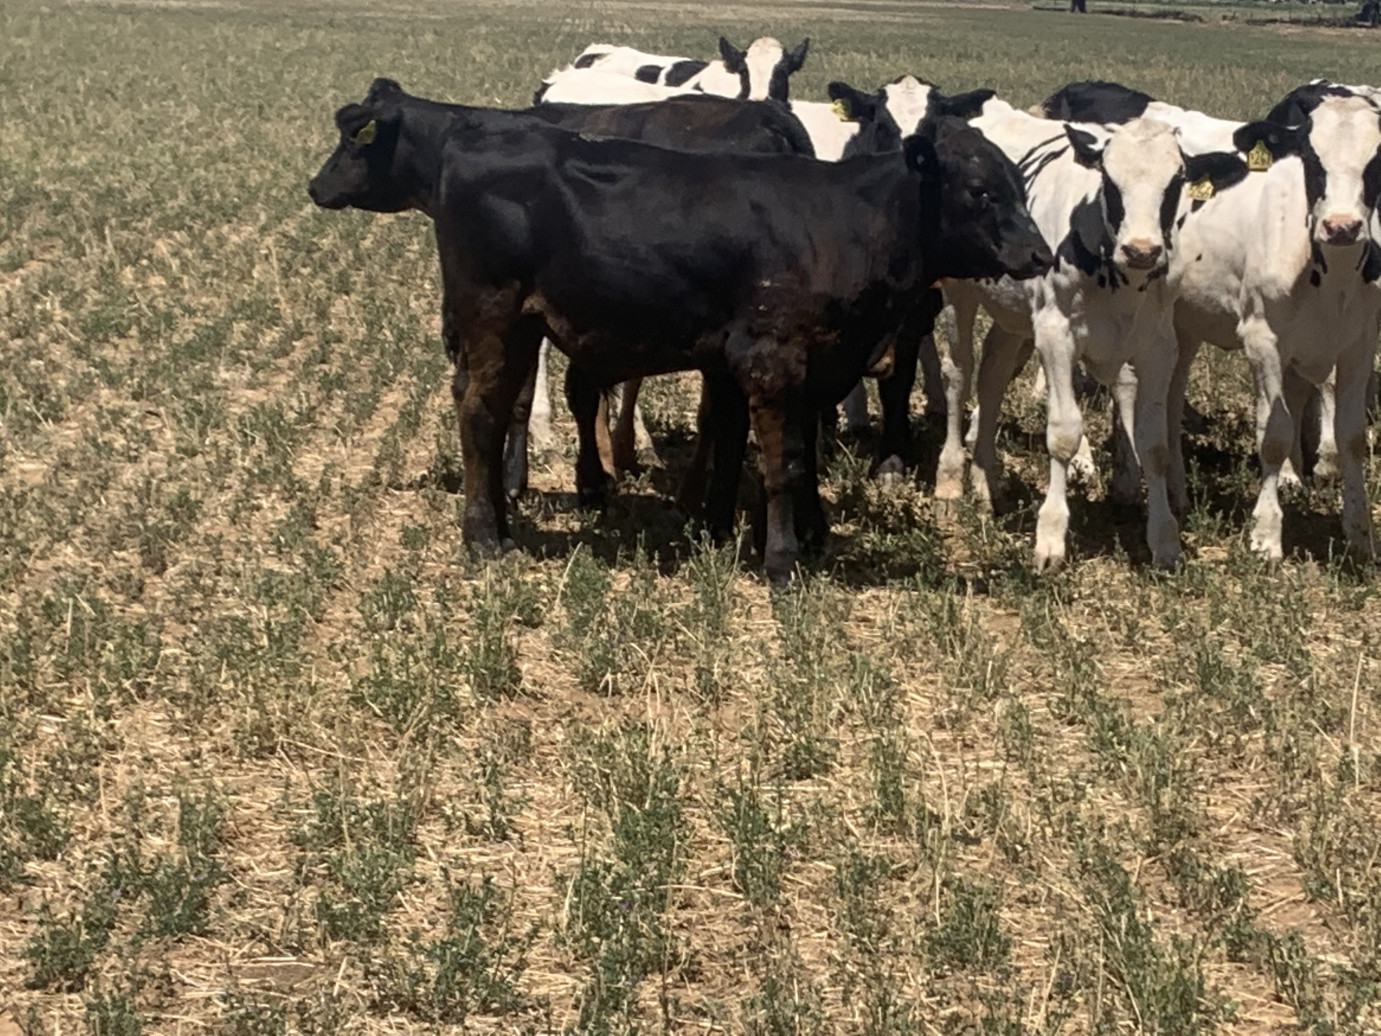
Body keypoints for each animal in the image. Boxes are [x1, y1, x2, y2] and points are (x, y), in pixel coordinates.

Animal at [308, 81, 1052, 582]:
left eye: (1019, 186)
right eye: (981, 190)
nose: (1040, 254)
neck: (842, 218)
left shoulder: (814, 365)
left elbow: (794, 453)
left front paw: (800, 534)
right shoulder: (771, 358)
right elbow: (781, 463)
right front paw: (781, 559)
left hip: (516, 328)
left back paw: (504, 521)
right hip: (491, 317)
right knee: (480, 413)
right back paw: (484, 536)